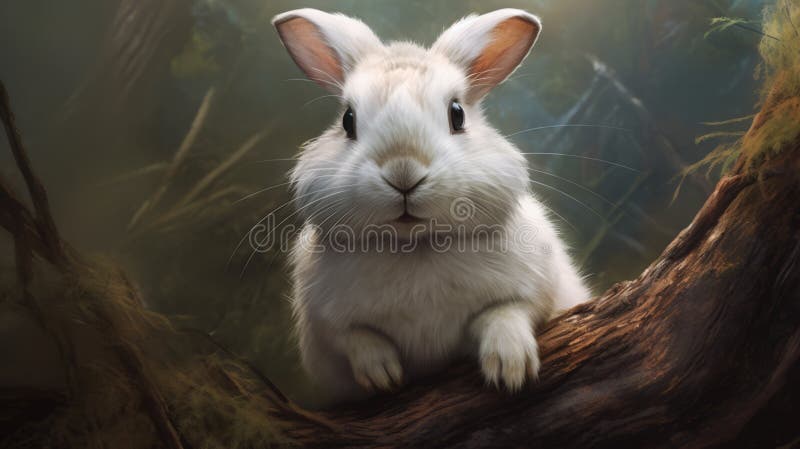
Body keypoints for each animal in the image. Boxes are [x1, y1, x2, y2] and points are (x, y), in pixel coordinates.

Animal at [272, 8, 591, 401]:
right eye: (348, 120)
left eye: (457, 114)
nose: (403, 172)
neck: (417, 246)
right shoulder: (324, 324)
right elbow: (356, 338)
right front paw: (382, 376)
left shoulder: (536, 291)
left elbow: (506, 313)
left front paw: (510, 369)